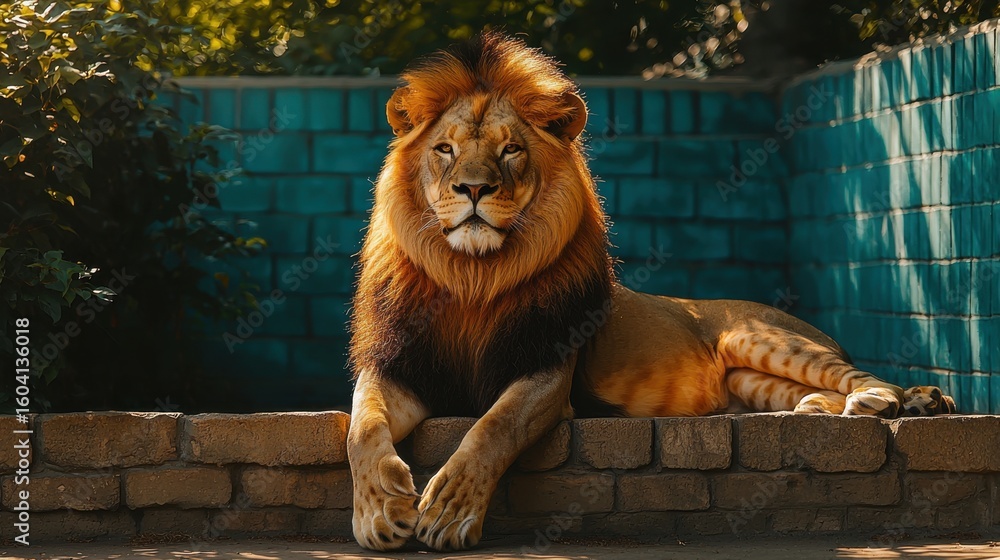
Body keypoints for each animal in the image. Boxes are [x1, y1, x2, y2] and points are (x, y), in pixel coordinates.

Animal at [346, 32, 956, 552]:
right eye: (445, 149)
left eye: (511, 150)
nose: (473, 188)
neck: (472, 276)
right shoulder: (400, 366)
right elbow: (362, 426)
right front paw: (379, 513)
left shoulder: (546, 372)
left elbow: (494, 426)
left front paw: (450, 511)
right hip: (749, 381)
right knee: (807, 394)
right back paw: (820, 410)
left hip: (759, 338)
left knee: (862, 375)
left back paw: (895, 401)